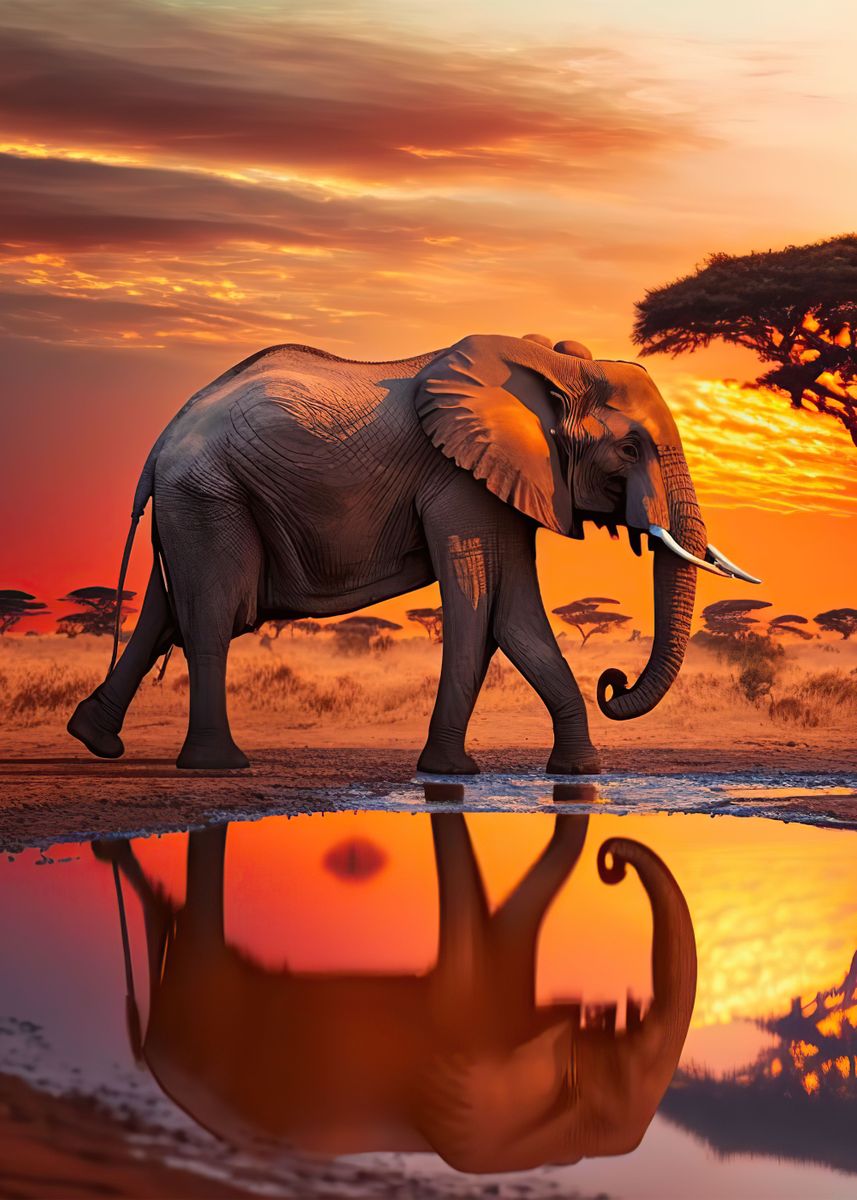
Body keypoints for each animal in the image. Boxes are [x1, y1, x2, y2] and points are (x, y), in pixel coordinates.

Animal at [67, 332, 759, 772]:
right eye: (630, 449)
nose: (612, 681)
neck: (552, 370)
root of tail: (162, 440)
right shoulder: (460, 478)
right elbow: (478, 606)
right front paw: (450, 772)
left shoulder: (500, 481)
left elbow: (514, 616)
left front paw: (580, 773)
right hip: (211, 496)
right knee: (212, 617)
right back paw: (220, 766)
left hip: (195, 504)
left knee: (166, 611)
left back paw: (96, 740)